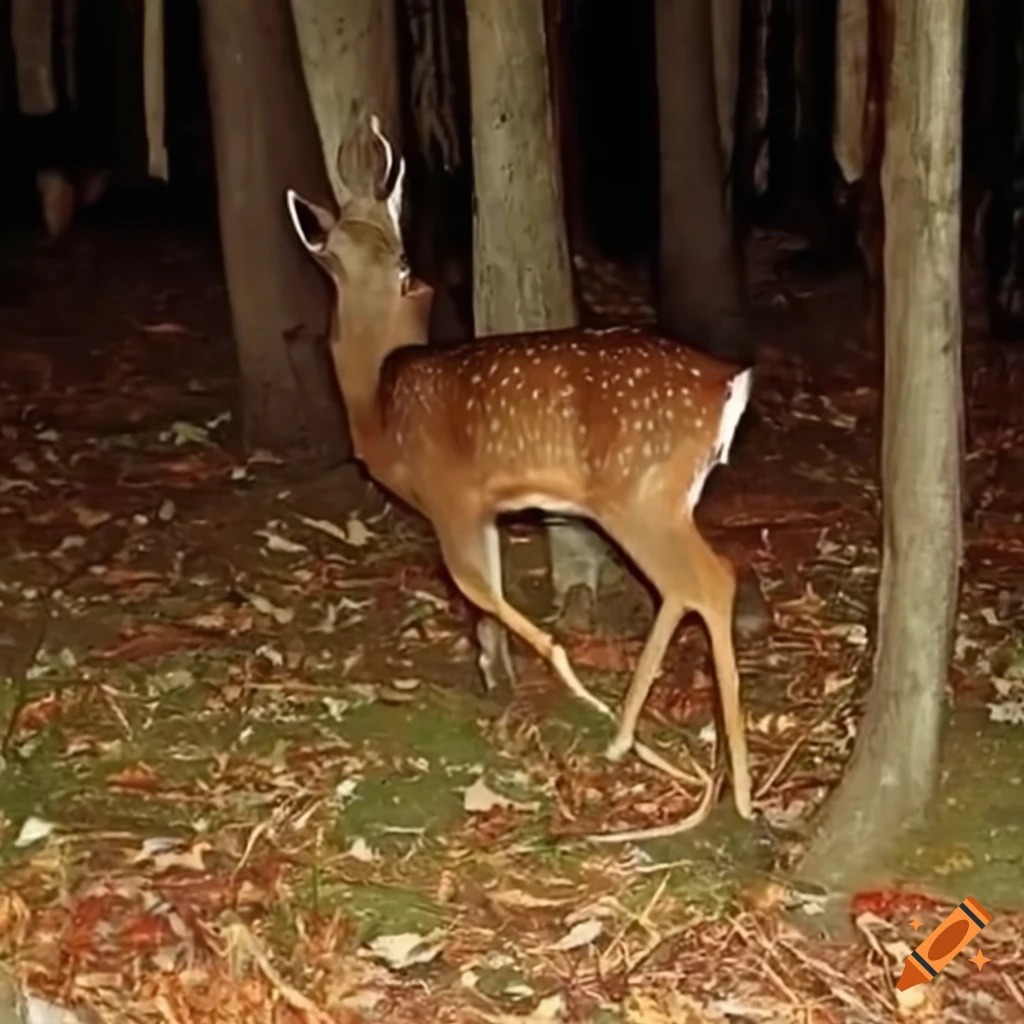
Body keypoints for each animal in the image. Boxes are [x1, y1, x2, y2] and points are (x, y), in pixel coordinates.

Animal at [286, 115, 755, 825]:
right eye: (335, 253)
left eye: (400, 257)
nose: (401, 275)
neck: (379, 410)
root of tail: (730, 385)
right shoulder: (482, 508)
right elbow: (487, 591)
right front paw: (493, 675)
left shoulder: (449, 494)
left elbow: (476, 585)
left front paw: (553, 676)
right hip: (659, 500)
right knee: (689, 585)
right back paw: (652, 749)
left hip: (642, 494)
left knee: (710, 580)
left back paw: (714, 780)